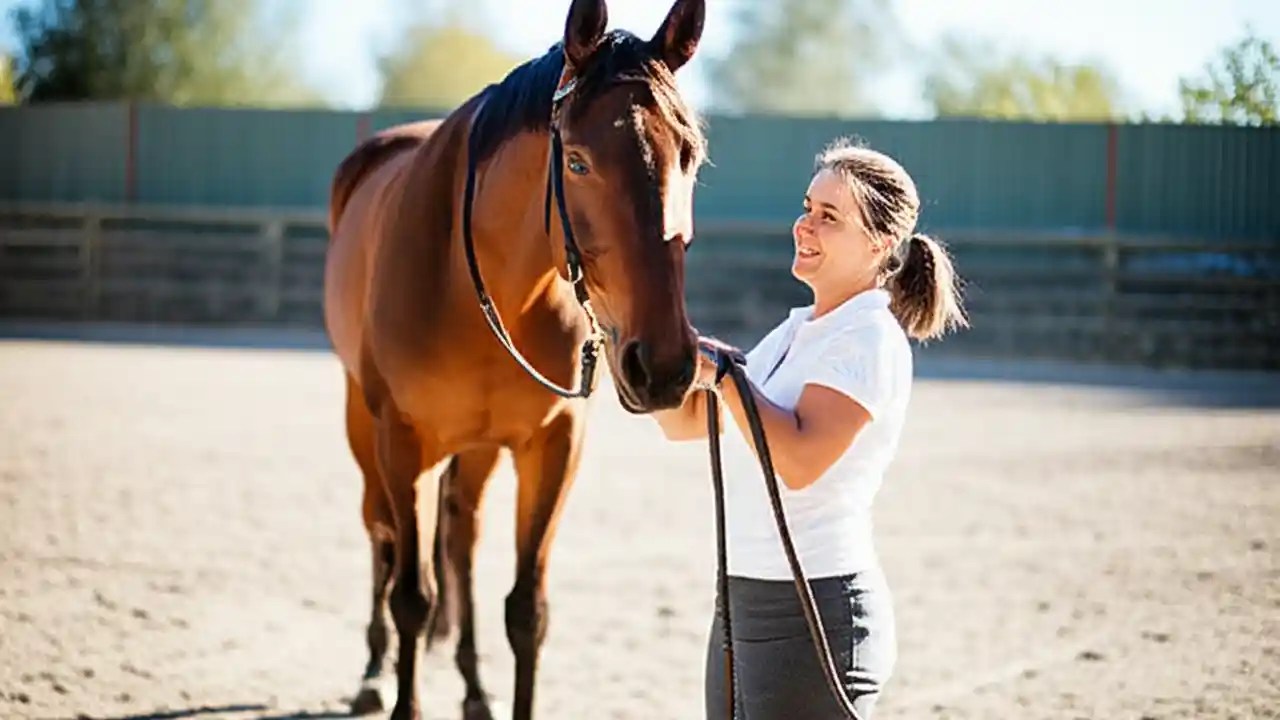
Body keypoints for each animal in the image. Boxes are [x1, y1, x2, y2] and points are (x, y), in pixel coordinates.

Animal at [322, 0, 708, 718]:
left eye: (690, 156)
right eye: (578, 162)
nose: (664, 364)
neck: (485, 287)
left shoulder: (553, 446)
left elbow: (527, 611)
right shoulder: (402, 440)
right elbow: (412, 596)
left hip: (476, 451)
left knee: (462, 540)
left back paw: (474, 688)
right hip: (364, 425)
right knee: (381, 534)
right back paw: (373, 671)